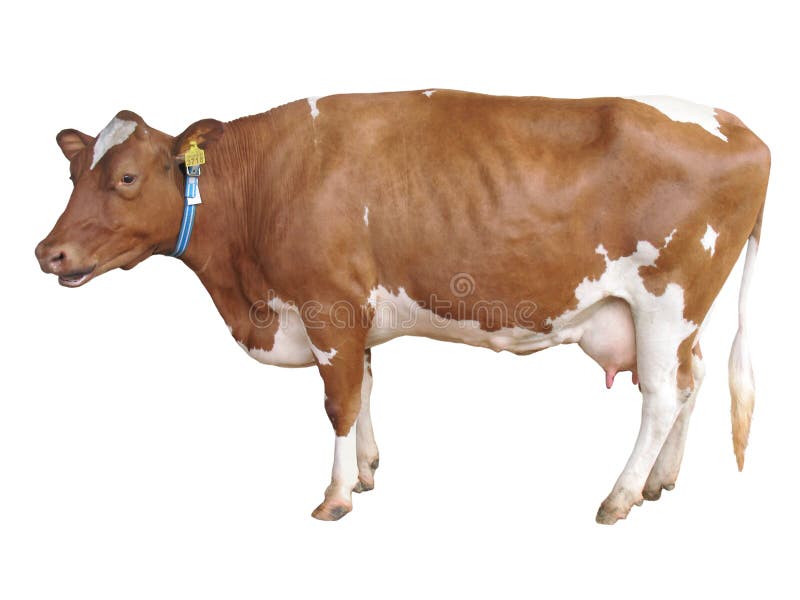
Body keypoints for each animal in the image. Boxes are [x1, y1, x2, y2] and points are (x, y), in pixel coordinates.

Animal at [36, 90, 769, 524]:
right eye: (72, 174)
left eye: (126, 176)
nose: (49, 253)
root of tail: (741, 129)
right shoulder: (353, 316)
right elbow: (363, 388)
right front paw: (364, 472)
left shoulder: (328, 305)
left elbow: (338, 401)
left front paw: (334, 497)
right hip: (680, 315)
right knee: (693, 378)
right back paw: (660, 482)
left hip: (667, 300)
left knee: (661, 395)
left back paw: (619, 497)